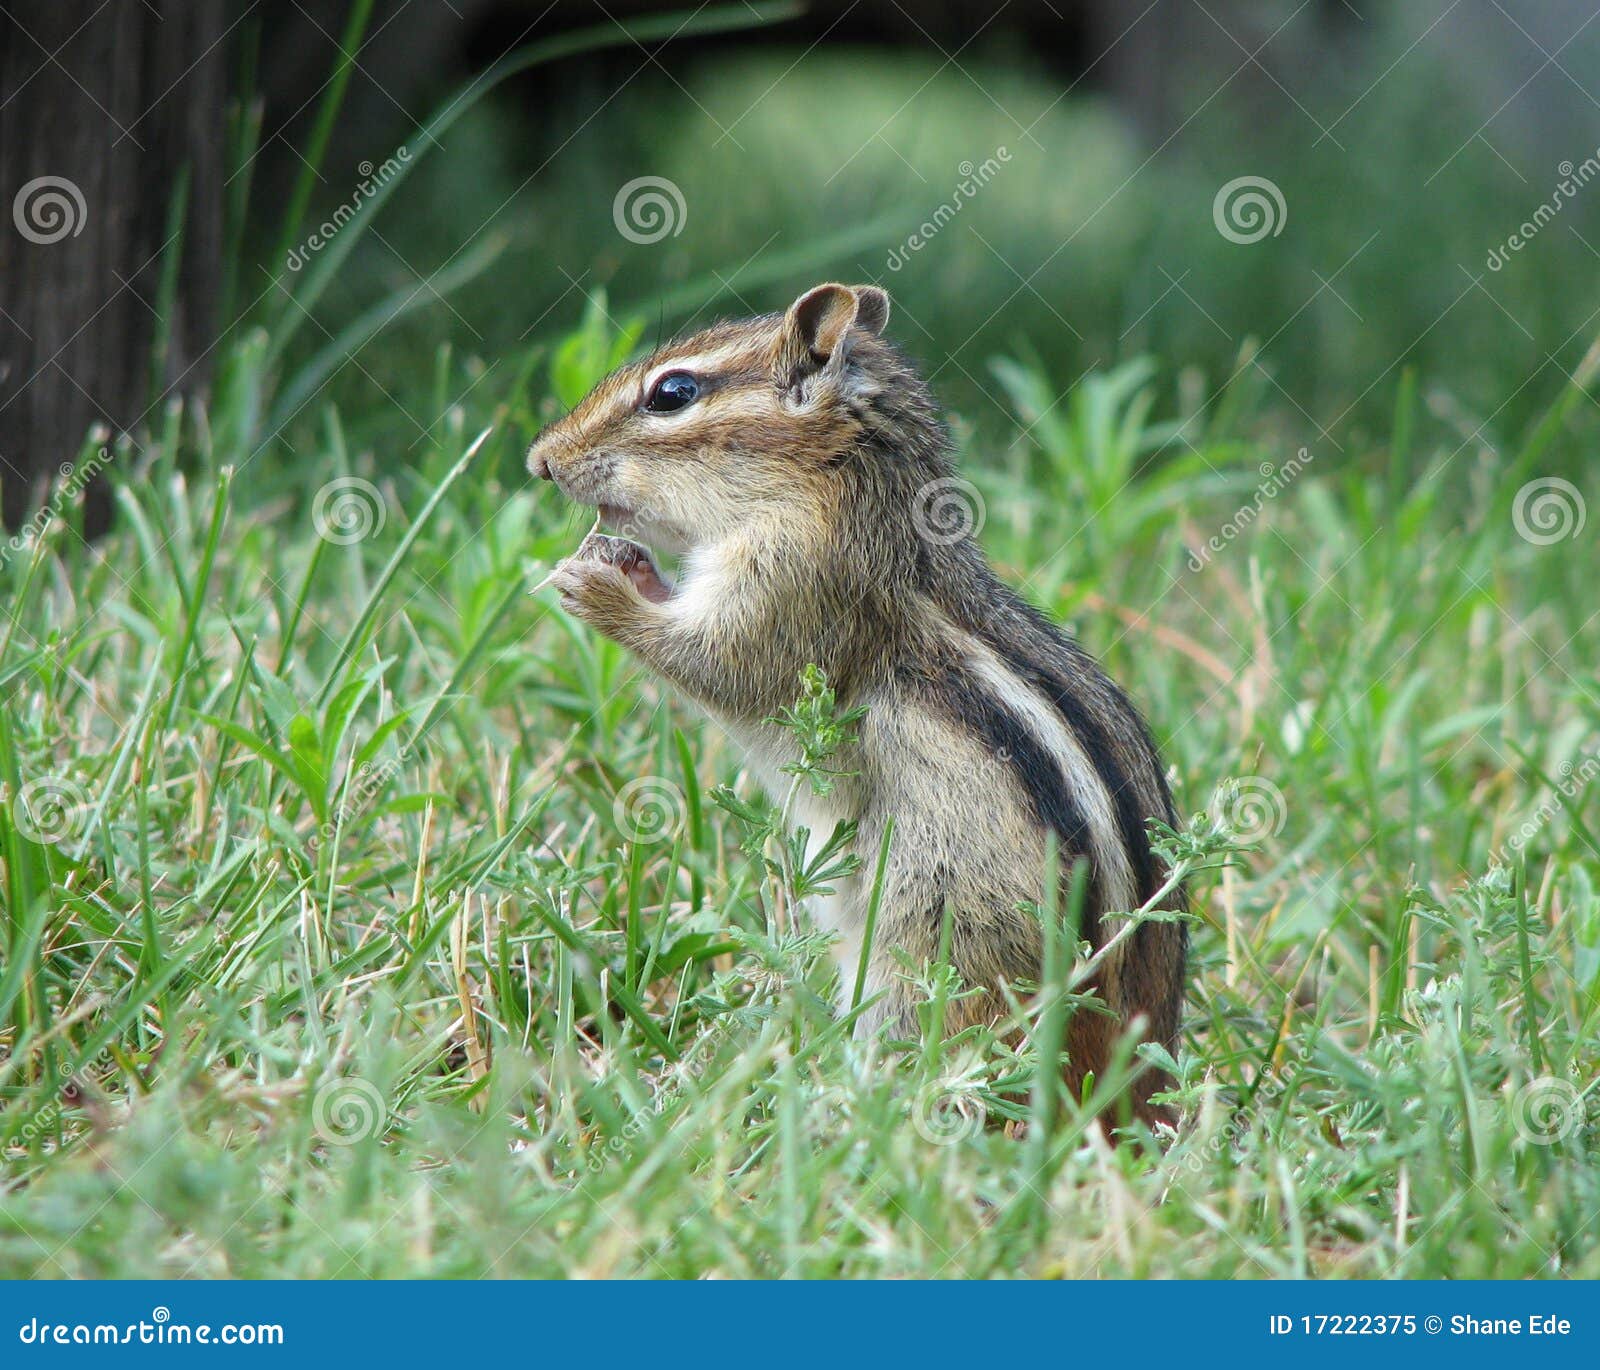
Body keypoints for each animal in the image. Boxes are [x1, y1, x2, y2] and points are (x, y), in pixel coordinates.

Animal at [528, 282, 1186, 1128]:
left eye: (672, 394)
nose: (540, 460)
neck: (838, 489)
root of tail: (1137, 1095)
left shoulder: (793, 581)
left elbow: (722, 666)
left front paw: (597, 588)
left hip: (928, 954)